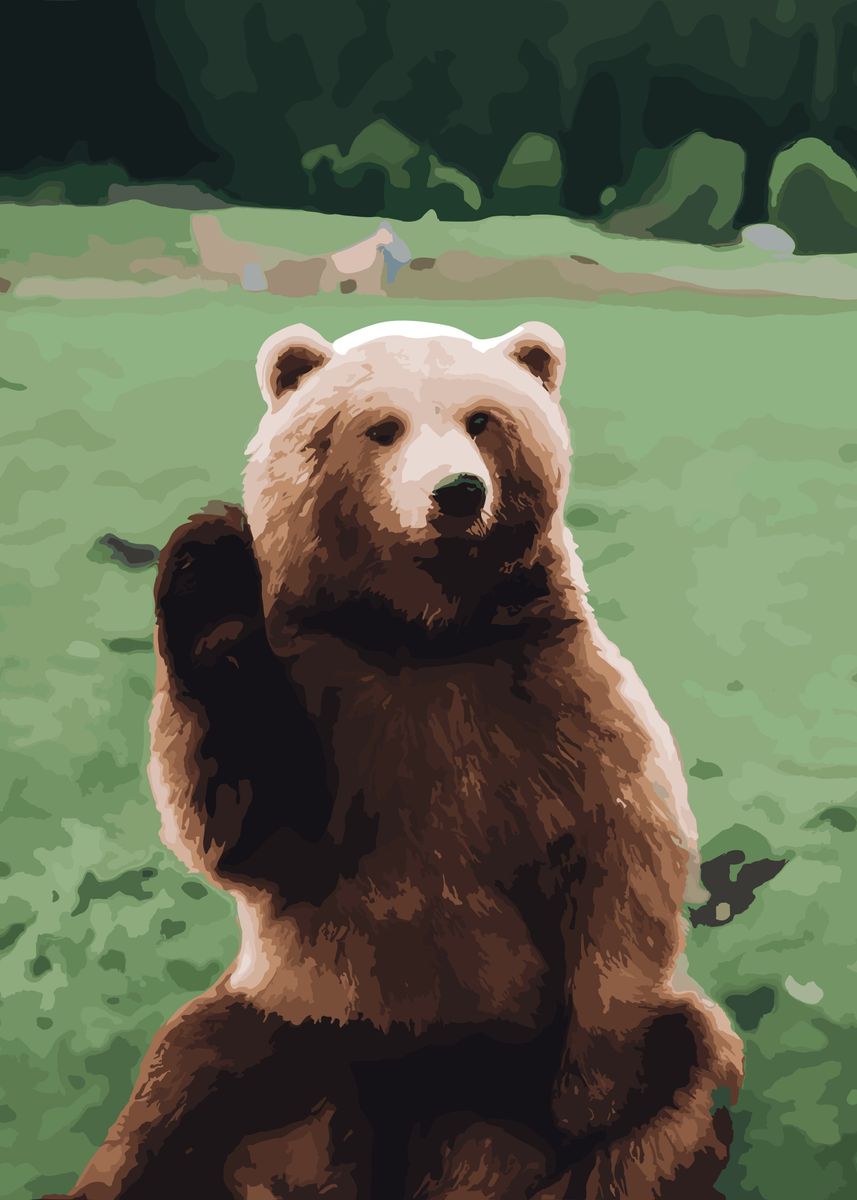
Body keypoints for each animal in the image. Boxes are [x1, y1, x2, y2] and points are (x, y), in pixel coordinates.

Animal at [62, 320, 742, 1200]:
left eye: (482, 418)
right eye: (381, 426)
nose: (457, 492)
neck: (425, 634)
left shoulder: (550, 695)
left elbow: (625, 848)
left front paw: (590, 1090)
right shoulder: (337, 710)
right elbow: (242, 820)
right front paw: (210, 570)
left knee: (678, 1086)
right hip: (303, 1024)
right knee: (180, 1087)